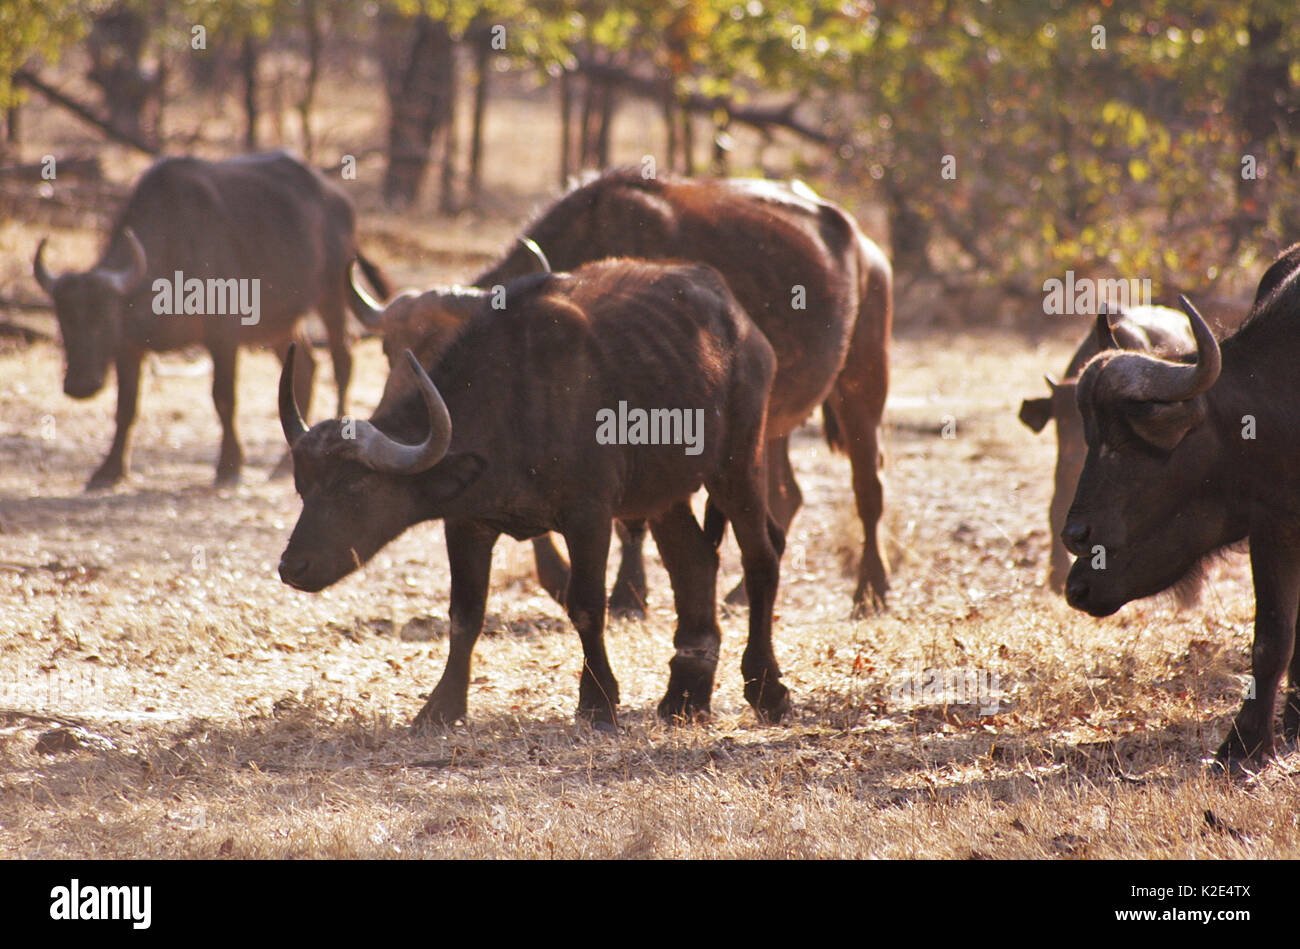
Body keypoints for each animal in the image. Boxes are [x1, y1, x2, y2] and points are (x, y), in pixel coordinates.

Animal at [33, 150, 387, 489]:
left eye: (104, 317)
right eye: (64, 321)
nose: (80, 384)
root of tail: (338, 200)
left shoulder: (223, 336)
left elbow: (223, 398)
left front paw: (229, 466)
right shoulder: (128, 348)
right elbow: (125, 407)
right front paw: (108, 470)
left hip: (334, 294)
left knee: (342, 362)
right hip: (279, 324)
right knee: (306, 370)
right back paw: (283, 465)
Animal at [278, 259, 788, 730]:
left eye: (353, 485)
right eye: (303, 486)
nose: (291, 567)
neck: (512, 405)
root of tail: (740, 322)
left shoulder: (589, 516)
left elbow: (586, 605)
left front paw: (597, 701)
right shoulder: (466, 524)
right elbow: (465, 614)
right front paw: (442, 705)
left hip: (739, 461)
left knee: (761, 557)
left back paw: (767, 688)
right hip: (665, 493)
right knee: (695, 564)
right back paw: (685, 695)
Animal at [349, 167, 892, 617]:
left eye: (448, 348)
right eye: (388, 350)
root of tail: (864, 247)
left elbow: (632, 520)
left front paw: (628, 594)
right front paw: (560, 578)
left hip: (862, 383)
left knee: (867, 488)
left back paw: (871, 590)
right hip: (765, 423)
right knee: (784, 495)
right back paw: (741, 592)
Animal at [1062, 247, 1300, 768]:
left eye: (1126, 443)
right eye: (1090, 438)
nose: (1074, 535)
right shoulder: (1273, 525)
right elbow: (1271, 639)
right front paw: (1246, 744)